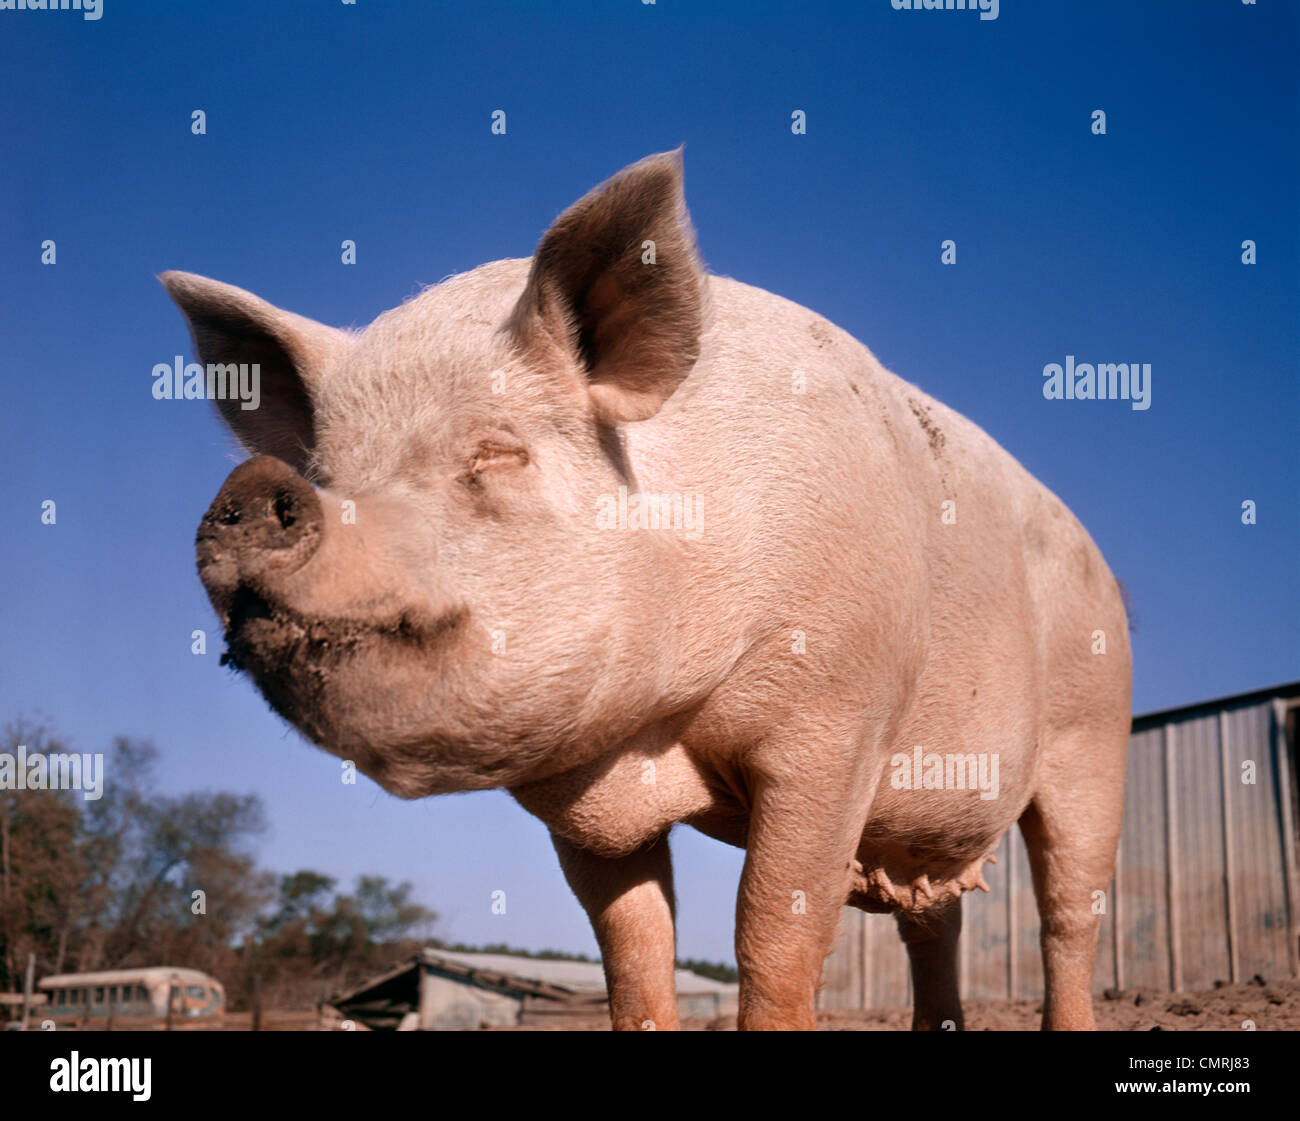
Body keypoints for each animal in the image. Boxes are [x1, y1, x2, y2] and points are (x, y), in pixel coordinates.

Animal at [163, 150, 1131, 1031]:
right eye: (330, 472)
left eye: (495, 453)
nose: (252, 484)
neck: (655, 733)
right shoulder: (587, 810)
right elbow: (630, 954)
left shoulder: (837, 721)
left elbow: (771, 936)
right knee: (935, 923)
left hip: (1092, 736)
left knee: (1067, 915)